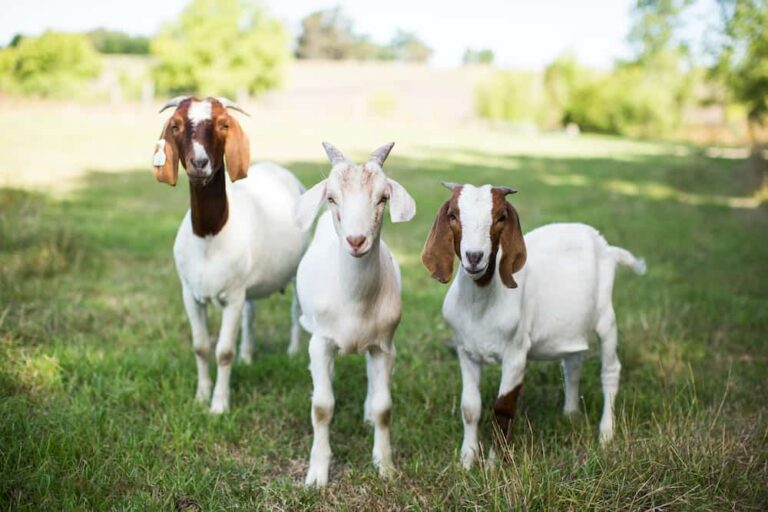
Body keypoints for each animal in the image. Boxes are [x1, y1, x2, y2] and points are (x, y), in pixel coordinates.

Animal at [152, 96, 309, 414]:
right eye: (176, 125)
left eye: (224, 124)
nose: (199, 163)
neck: (210, 236)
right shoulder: (190, 293)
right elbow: (201, 347)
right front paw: (201, 396)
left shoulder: (232, 297)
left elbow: (223, 351)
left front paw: (219, 406)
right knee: (250, 313)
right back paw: (248, 356)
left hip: (297, 267)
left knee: (295, 310)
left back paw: (293, 352)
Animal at [294, 142, 416, 487]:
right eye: (332, 198)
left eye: (383, 198)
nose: (356, 240)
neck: (354, 302)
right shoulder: (320, 342)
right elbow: (322, 407)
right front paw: (317, 476)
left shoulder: (385, 346)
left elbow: (385, 408)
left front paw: (385, 467)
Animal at [421, 183, 645, 468]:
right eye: (452, 215)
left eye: (500, 217)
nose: (474, 256)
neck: (481, 304)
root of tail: (608, 248)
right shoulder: (465, 351)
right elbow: (470, 407)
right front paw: (467, 461)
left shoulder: (516, 354)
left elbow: (503, 408)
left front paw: (493, 465)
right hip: (571, 326)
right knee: (573, 363)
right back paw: (570, 414)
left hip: (606, 316)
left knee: (610, 370)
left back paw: (606, 434)